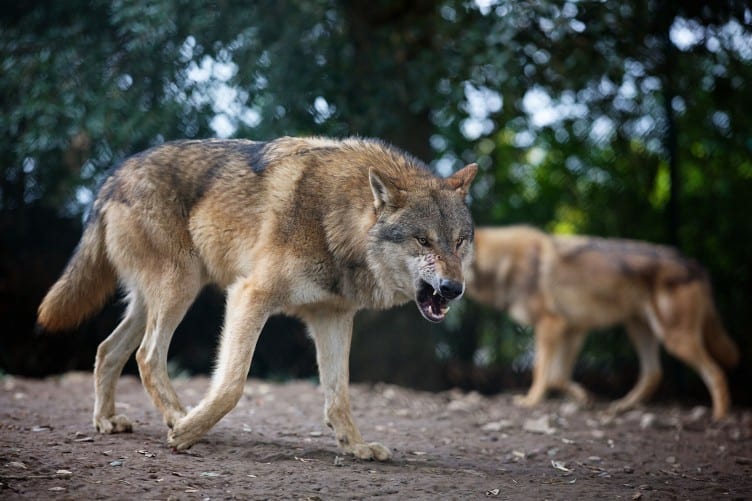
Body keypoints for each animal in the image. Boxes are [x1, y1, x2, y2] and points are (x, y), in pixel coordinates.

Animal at [37, 137, 478, 460]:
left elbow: (339, 396)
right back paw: (178, 417)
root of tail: (112, 177)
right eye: (423, 240)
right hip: (179, 288)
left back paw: (106, 421)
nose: (453, 289)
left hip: (155, 300)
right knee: (147, 356)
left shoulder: (333, 317)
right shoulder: (250, 295)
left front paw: (355, 446)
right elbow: (232, 384)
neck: (338, 220)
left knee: (107, 350)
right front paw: (187, 432)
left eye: (459, 242)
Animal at [467, 225, 738, 419]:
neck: (503, 261)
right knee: (653, 374)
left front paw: (530, 401)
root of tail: (695, 264)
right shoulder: (574, 328)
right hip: (638, 330)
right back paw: (621, 407)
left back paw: (719, 418)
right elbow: (557, 376)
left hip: (674, 338)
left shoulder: (551, 324)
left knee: (716, 373)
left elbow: (540, 370)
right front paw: (584, 397)